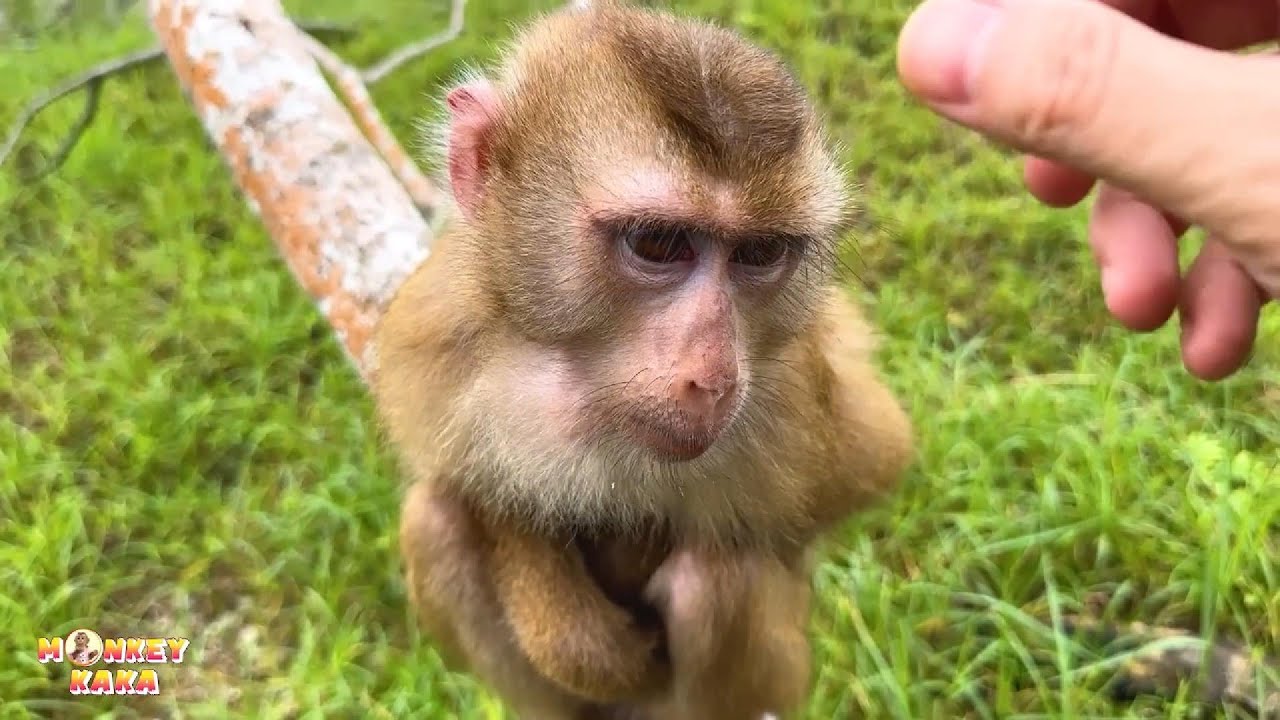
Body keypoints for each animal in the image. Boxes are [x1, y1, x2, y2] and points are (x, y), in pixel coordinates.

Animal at [372, 1, 915, 718]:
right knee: (435, 525)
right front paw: (573, 639)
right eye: (658, 242)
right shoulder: (434, 338)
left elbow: (873, 465)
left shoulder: (798, 389)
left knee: (714, 575)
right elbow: (473, 496)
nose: (714, 377)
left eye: (760, 252)